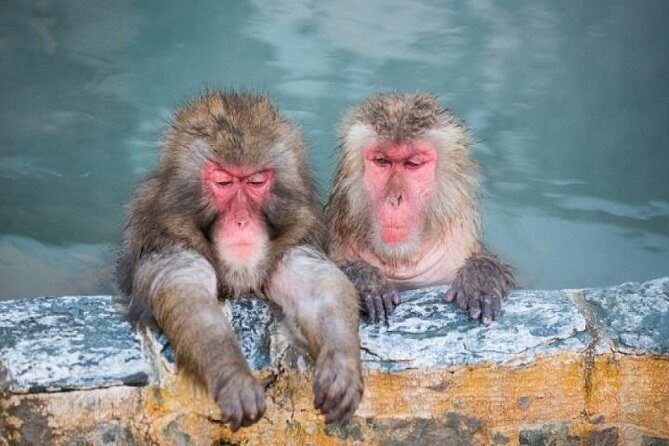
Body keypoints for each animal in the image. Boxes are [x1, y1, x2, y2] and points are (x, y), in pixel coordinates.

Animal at [116, 90, 363, 431]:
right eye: (223, 182)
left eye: (256, 182)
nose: (241, 220)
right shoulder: (170, 246)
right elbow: (187, 295)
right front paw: (234, 377)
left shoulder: (294, 244)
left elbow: (317, 286)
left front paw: (342, 365)